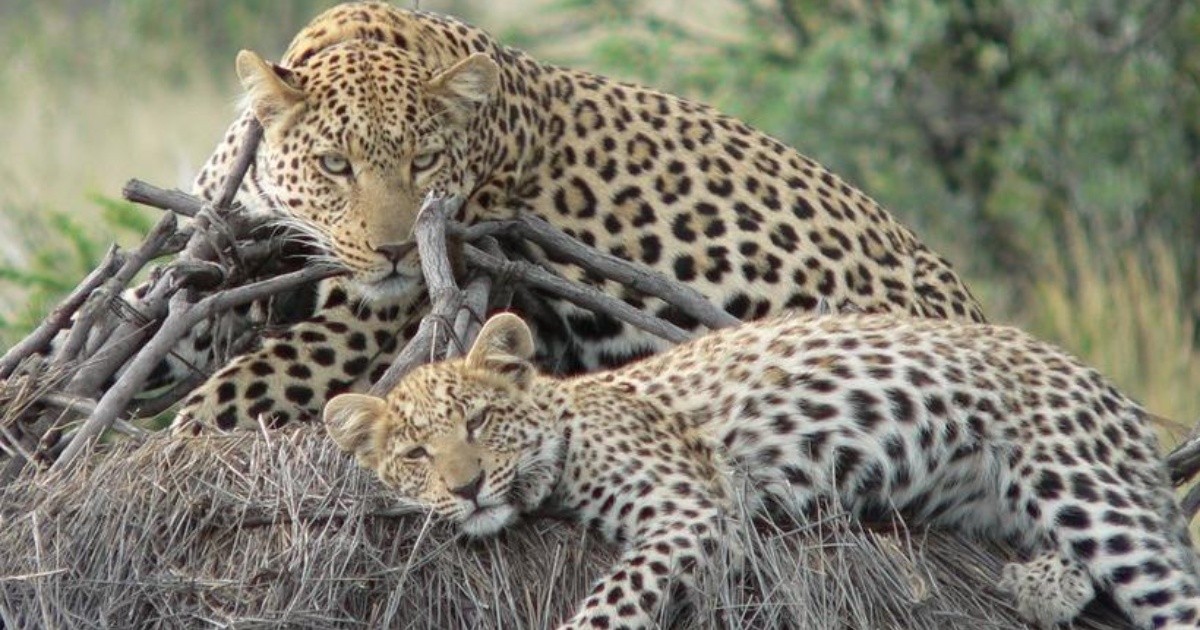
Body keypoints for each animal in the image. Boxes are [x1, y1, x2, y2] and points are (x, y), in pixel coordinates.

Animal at [167, 0, 986, 434]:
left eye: (424, 164)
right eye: (335, 165)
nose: (399, 250)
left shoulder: (378, 318)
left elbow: (237, 391)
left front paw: (178, 439)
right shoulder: (213, 238)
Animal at [326, 312, 1200, 630]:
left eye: (478, 422)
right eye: (415, 455)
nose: (466, 487)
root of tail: (1114, 391)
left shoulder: (693, 508)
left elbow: (611, 602)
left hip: (1083, 488)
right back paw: (1043, 584)